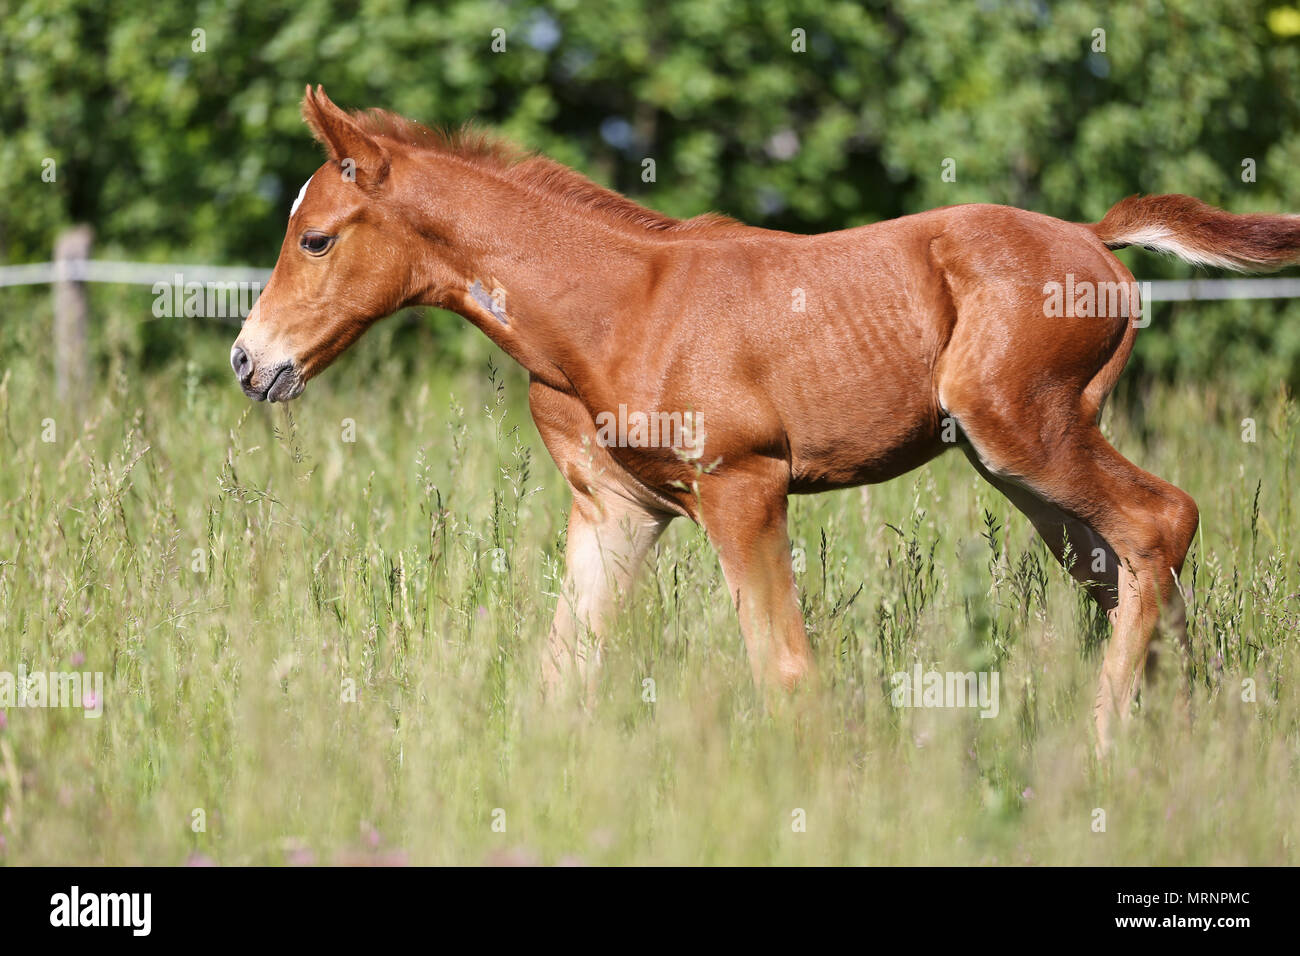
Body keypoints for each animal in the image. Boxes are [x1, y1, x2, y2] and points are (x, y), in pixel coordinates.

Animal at [231, 85, 1300, 753]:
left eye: (315, 239)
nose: (250, 361)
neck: (616, 306)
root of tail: (1093, 236)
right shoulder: (619, 510)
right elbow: (562, 670)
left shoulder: (744, 486)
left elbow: (784, 668)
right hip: (1018, 466)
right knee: (1124, 566)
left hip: (1020, 429)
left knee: (1160, 521)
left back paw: (1107, 741)